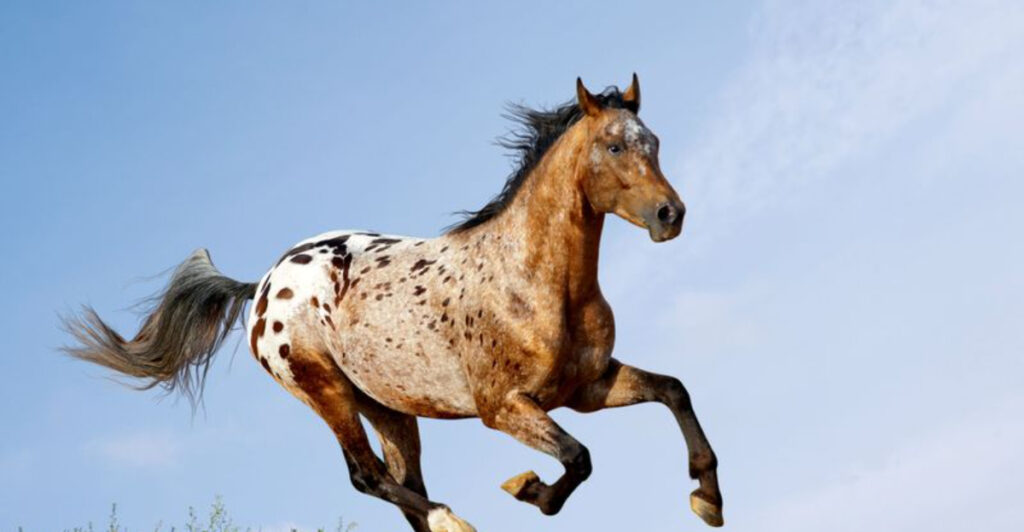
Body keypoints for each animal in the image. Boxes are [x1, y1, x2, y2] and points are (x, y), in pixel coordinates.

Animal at [63, 75, 723, 532]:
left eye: (654, 142)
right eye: (613, 147)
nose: (671, 215)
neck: (533, 281)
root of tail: (262, 285)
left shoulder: (586, 388)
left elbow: (673, 390)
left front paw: (707, 497)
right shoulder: (505, 407)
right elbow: (578, 459)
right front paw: (527, 489)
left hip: (389, 408)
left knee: (399, 482)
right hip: (324, 390)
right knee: (368, 476)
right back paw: (452, 519)